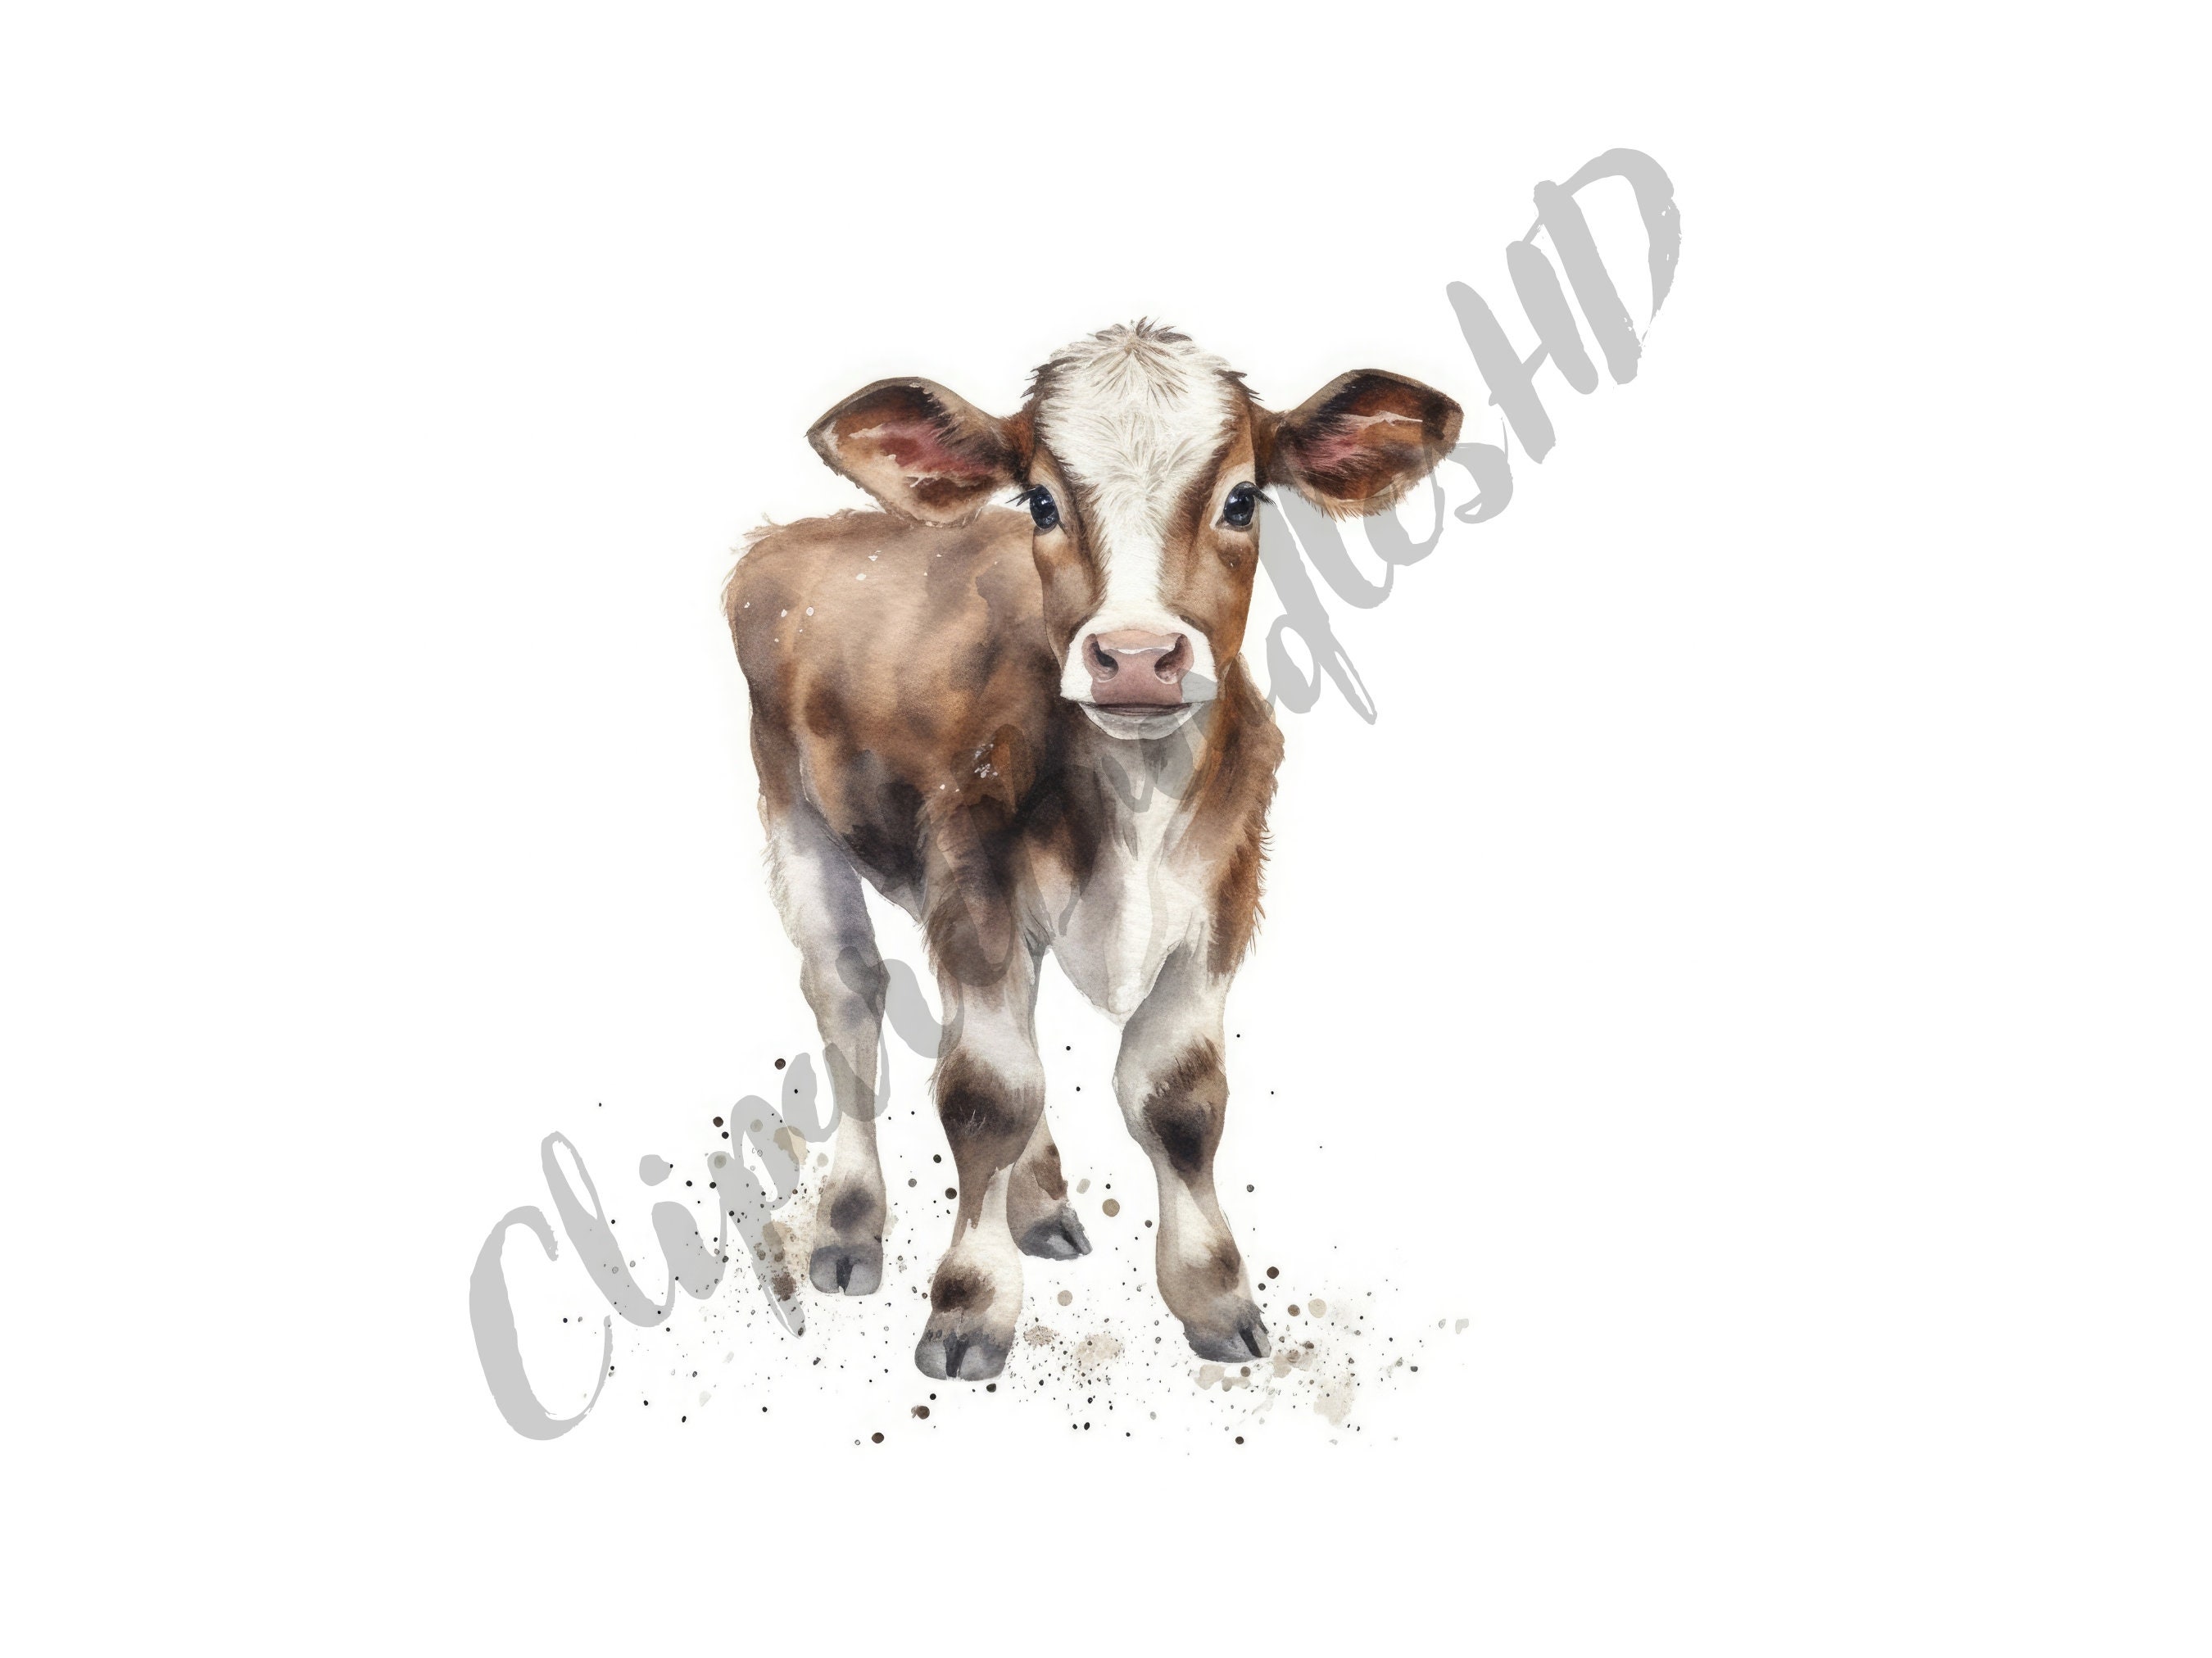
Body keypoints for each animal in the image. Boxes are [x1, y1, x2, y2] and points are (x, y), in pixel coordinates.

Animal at [725, 322, 1460, 1379]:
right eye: (1040, 500)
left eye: (1243, 498)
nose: (1139, 657)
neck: (1135, 794)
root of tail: (805, 530)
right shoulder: (974, 890)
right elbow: (987, 1091)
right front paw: (969, 1304)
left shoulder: (1222, 896)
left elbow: (1178, 1097)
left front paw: (1215, 1294)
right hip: (794, 813)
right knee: (852, 1004)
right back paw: (851, 1226)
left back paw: (1039, 1207)